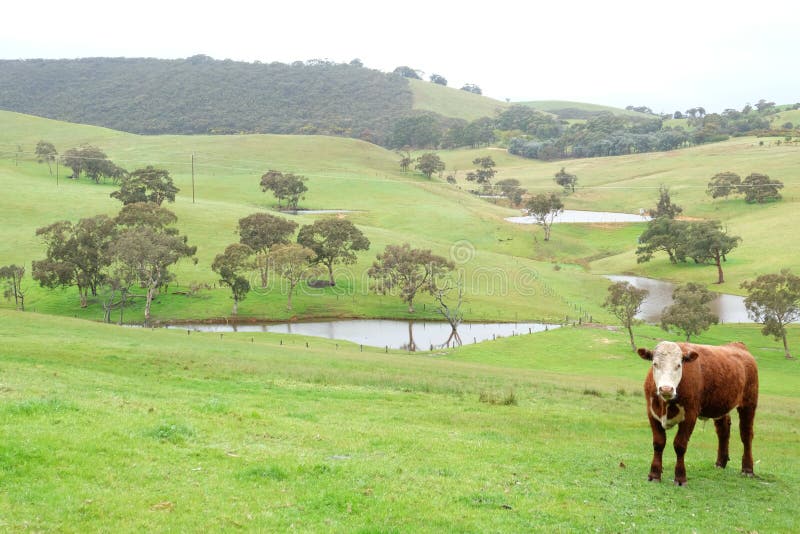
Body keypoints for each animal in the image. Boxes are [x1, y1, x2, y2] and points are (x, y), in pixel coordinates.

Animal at [637, 340, 758, 485]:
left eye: (679, 365)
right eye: (655, 364)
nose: (666, 389)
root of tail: (738, 345)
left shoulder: (690, 415)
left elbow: (680, 445)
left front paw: (680, 478)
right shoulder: (652, 413)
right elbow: (658, 443)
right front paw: (654, 474)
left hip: (749, 403)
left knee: (746, 435)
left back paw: (747, 469)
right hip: (720, 405)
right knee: (723, 431)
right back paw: (720, 463)